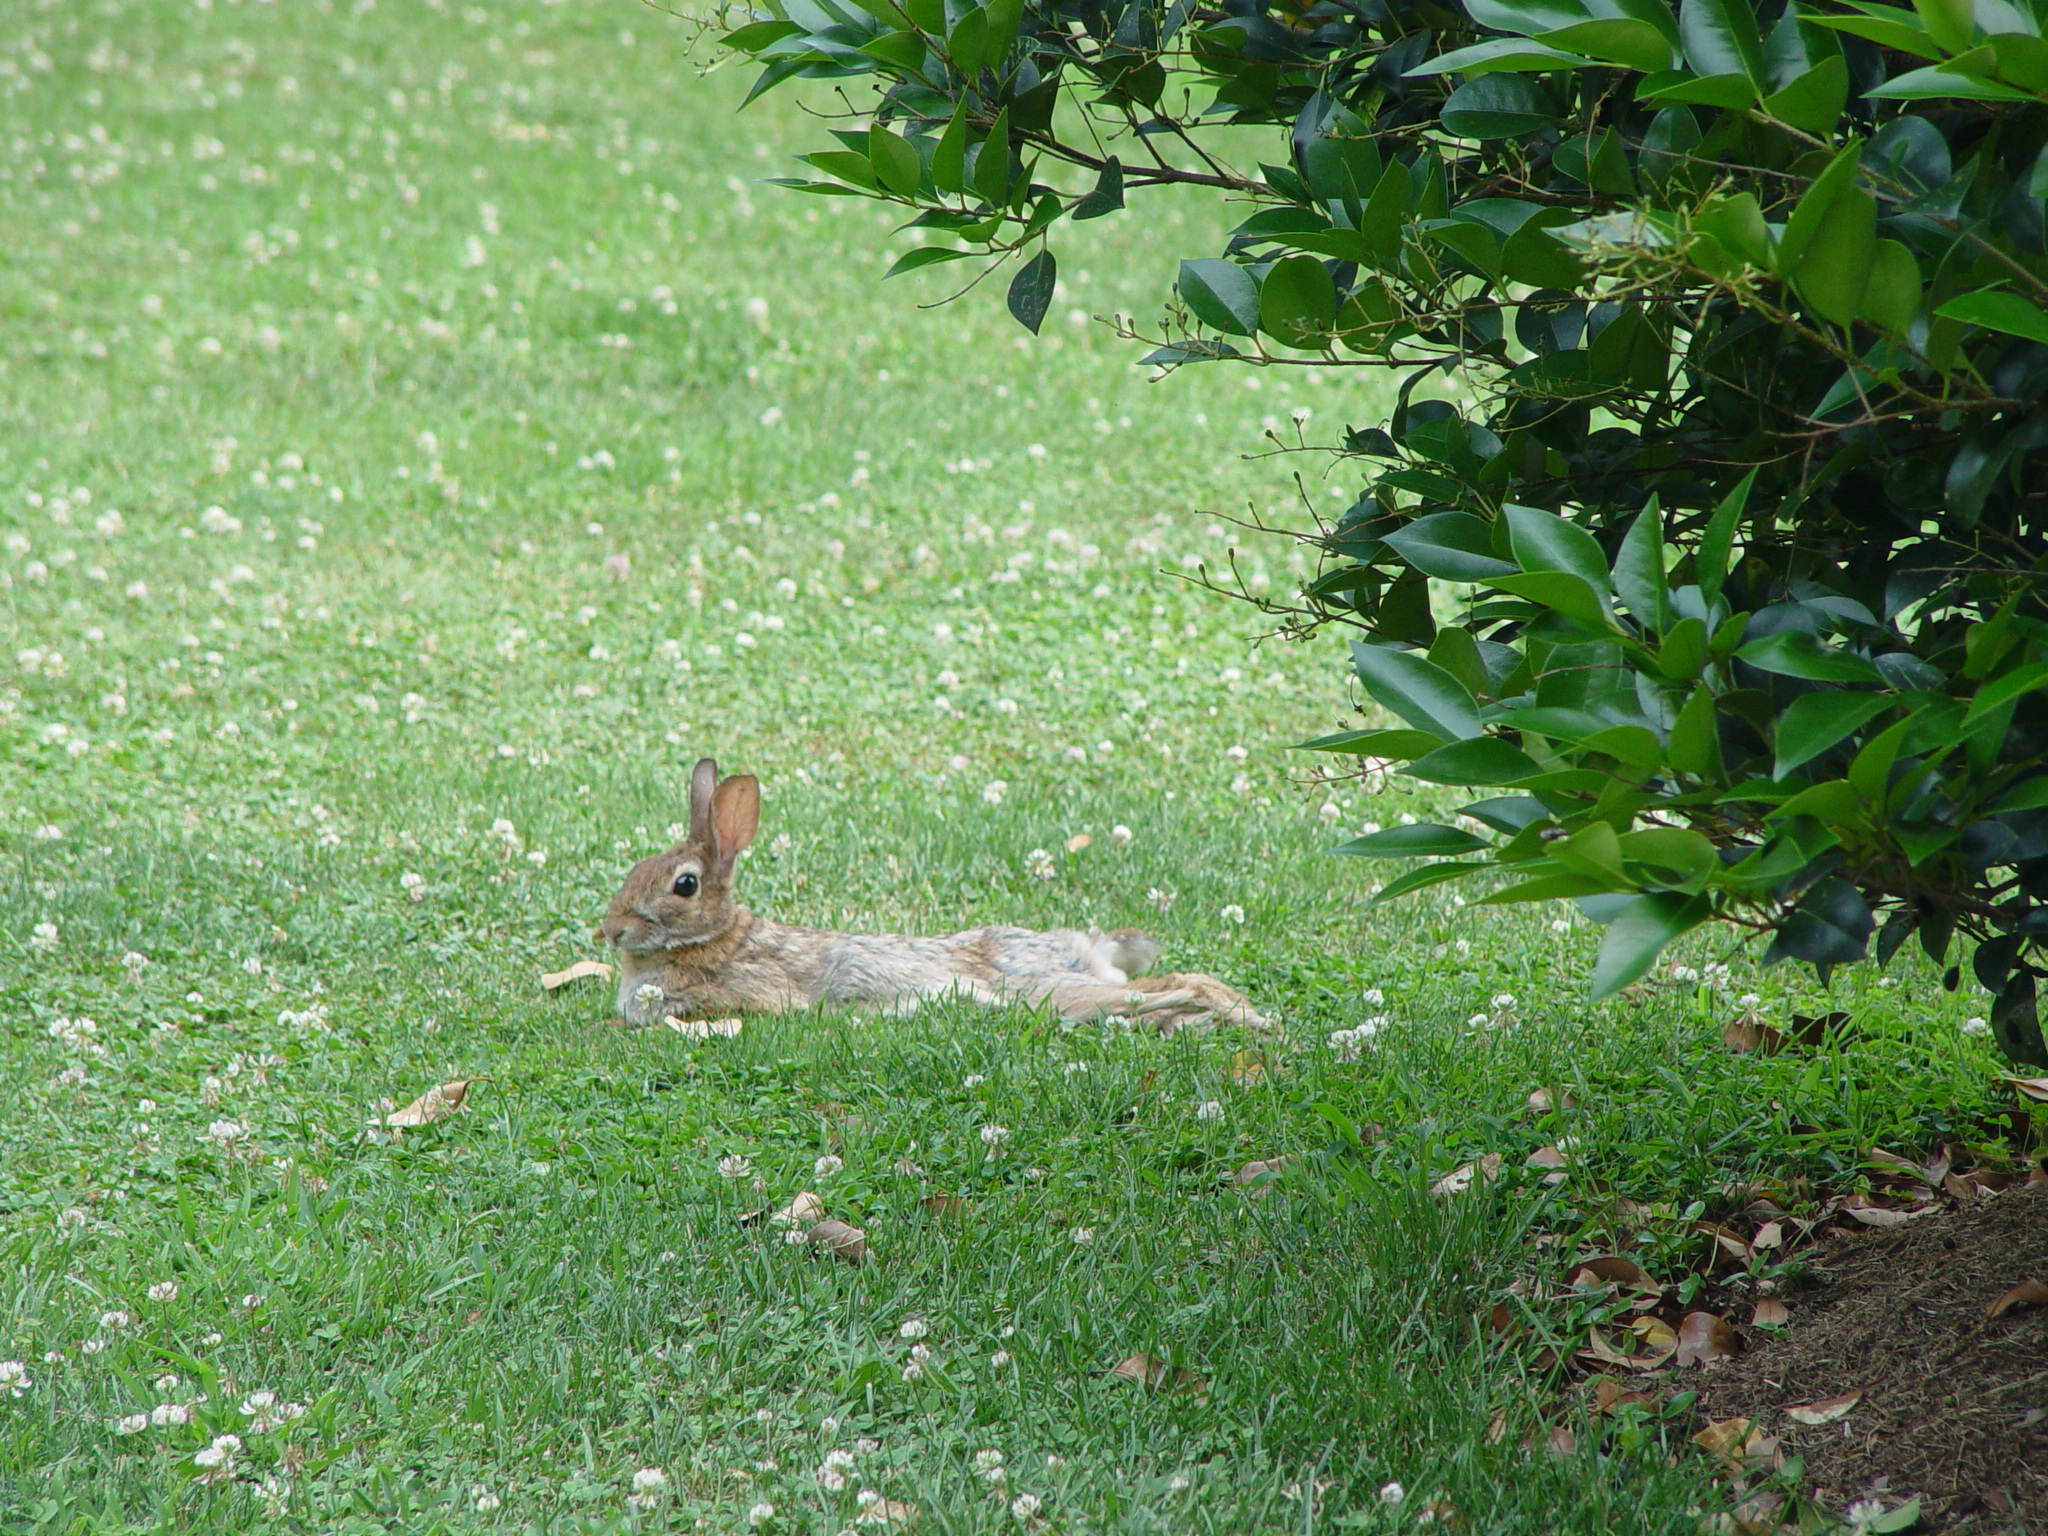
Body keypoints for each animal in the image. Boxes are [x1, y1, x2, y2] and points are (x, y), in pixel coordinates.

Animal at [598, 758, 1267, 1032]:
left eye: (683, 885)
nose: (612, 930)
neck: (717, 939)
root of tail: (1085, 949)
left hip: (1047, 991)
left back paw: (1247, 1018)